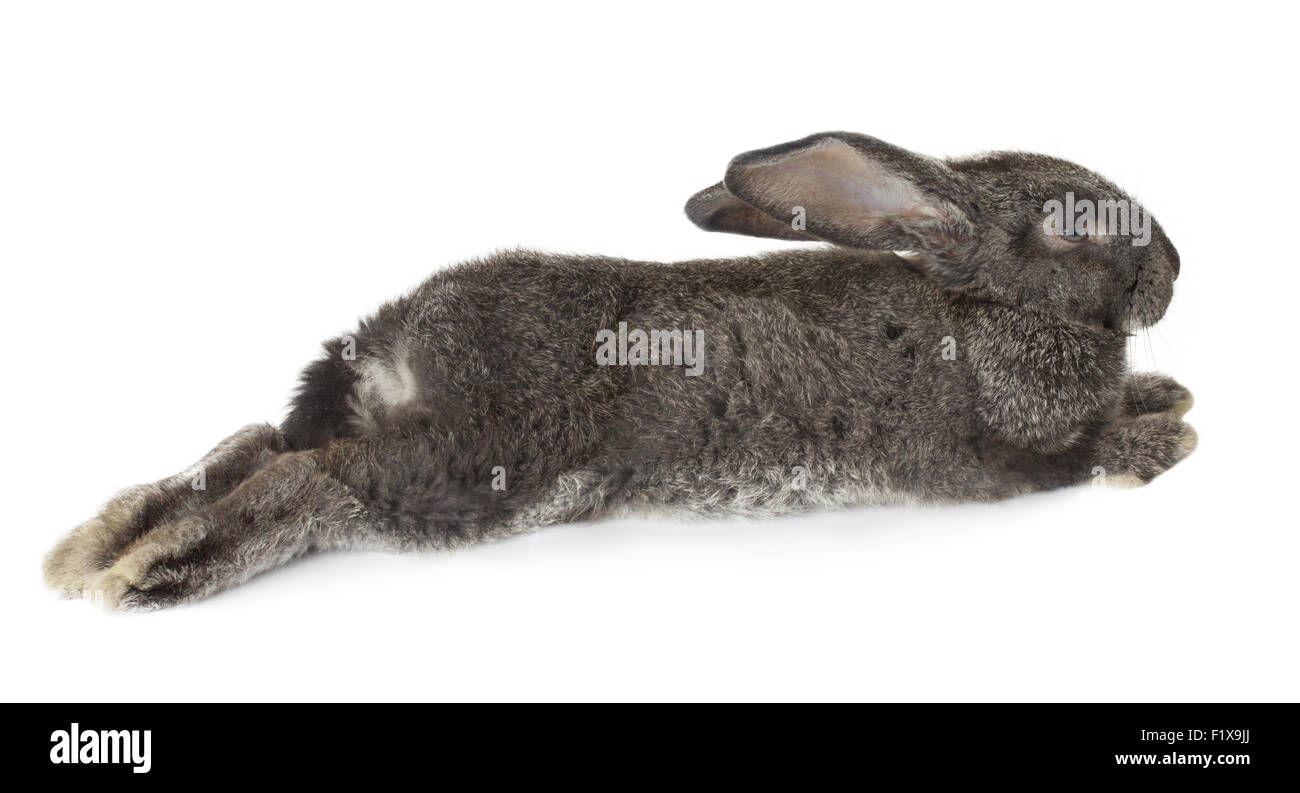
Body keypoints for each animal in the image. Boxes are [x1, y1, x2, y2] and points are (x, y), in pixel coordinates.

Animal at [44, 131, 1195, 610]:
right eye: (1076, 225)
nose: (1175, 271)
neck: (987, 310)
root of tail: (395, 339)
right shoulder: (998, 454)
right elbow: (1089, 451)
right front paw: (1166, 431)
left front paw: (1165, 391)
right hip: (478, 469)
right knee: (308, 478)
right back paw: (154, 570)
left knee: (257, 440)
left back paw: (90, 548)